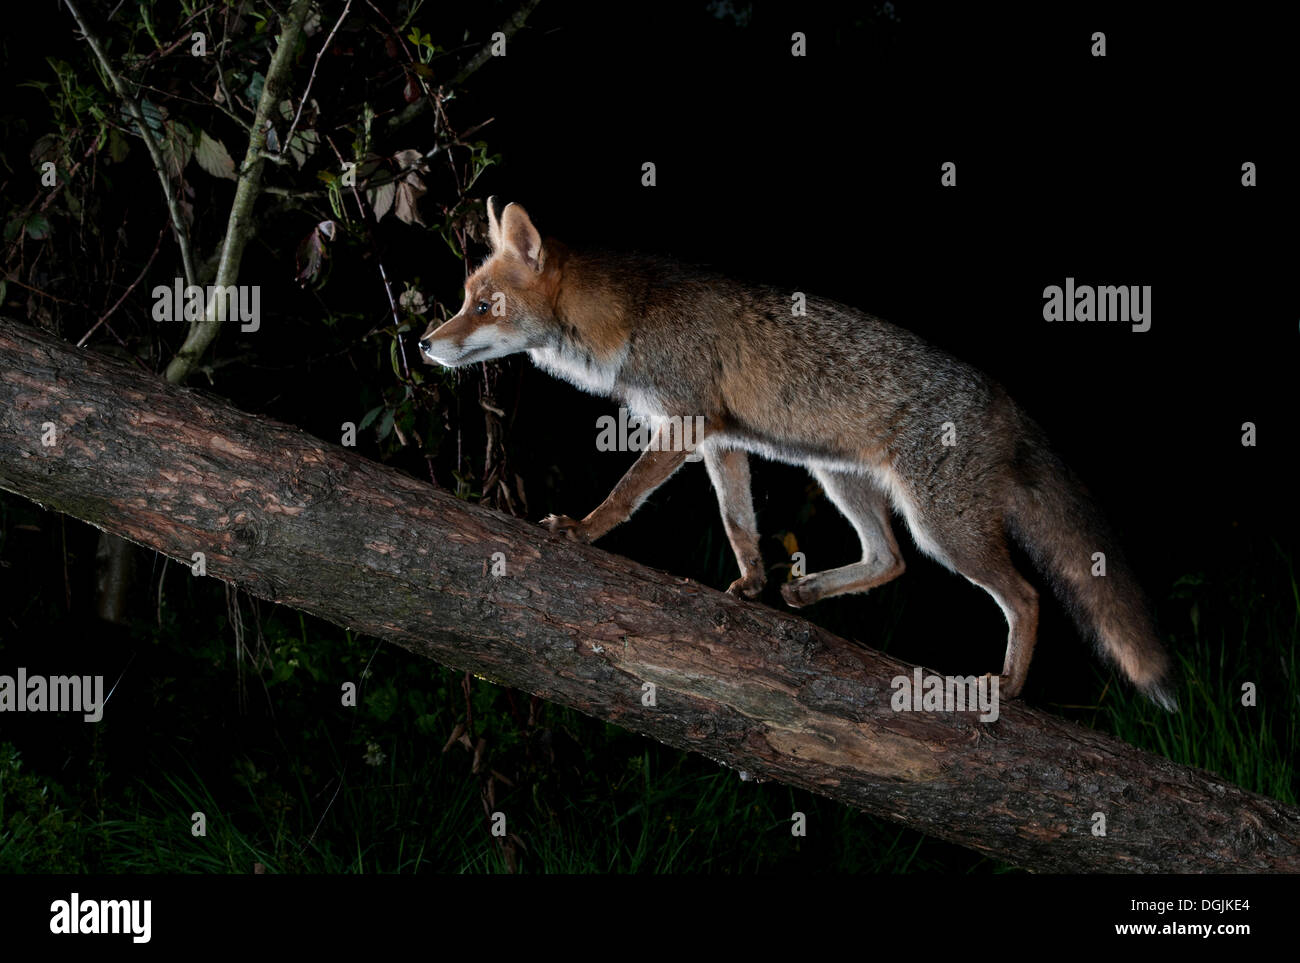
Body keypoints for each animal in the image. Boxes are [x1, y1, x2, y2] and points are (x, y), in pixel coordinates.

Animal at [418, 197, 1178, 711]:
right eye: (464, 299)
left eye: (484, 305)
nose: (425, 344)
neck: (632, 319)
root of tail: (1005, 401)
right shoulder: (721, 440)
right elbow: (739, 524)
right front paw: (753, 582)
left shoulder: (684, 423)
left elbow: (625, 493)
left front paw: (581, 529)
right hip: (841, 481)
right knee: (889, 560)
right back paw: (806, 589)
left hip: (943, 527)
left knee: (1023, 595)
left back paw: (1010, 685)